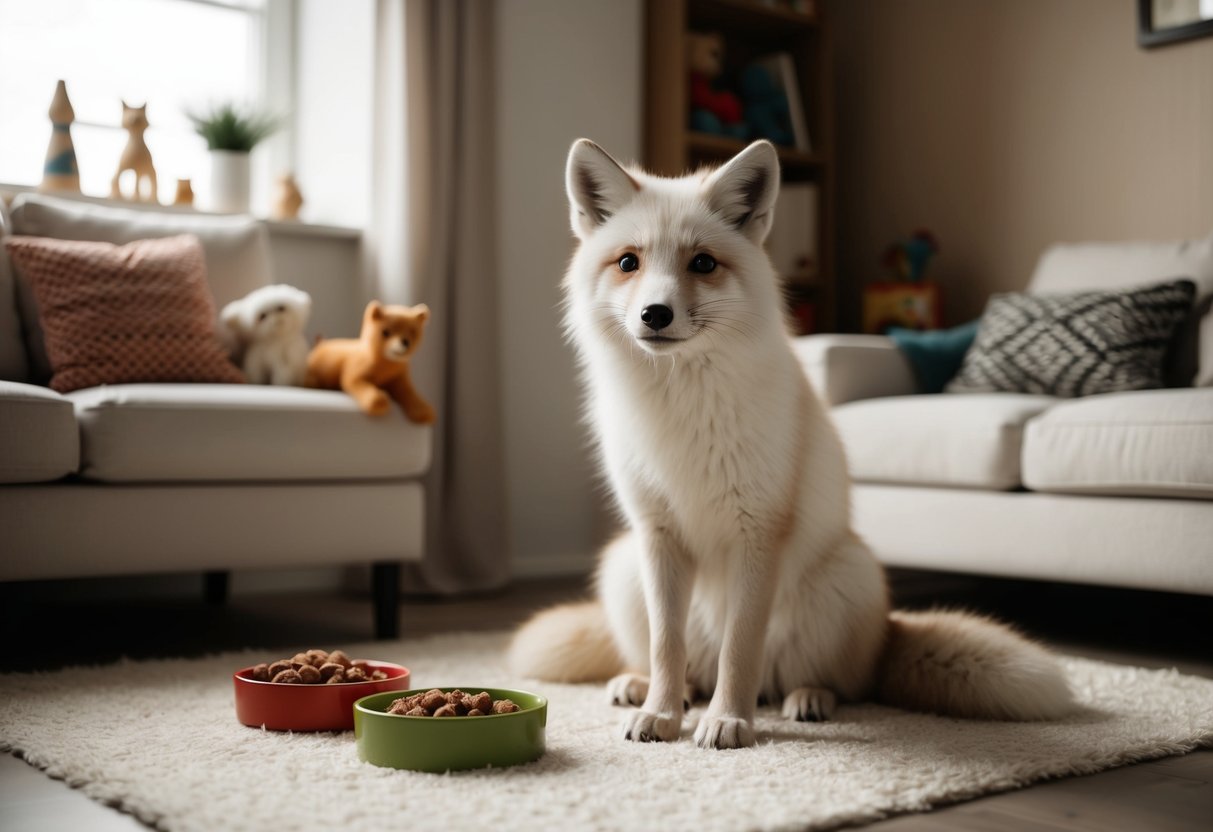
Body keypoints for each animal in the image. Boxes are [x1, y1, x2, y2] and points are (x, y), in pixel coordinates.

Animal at [508, 139, 1075, 750]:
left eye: (703, 263)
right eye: (628, 262)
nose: (654, 315)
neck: (683, 407)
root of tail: (888, 633)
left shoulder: (759, 529)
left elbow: (741, 649)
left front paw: (729, 721)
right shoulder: (656, 533)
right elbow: (667, 647)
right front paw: (663, 714)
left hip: (847, 574)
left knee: (835, 682)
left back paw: (807, 699)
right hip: (622, 566)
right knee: (690, 667)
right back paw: (649, 689)